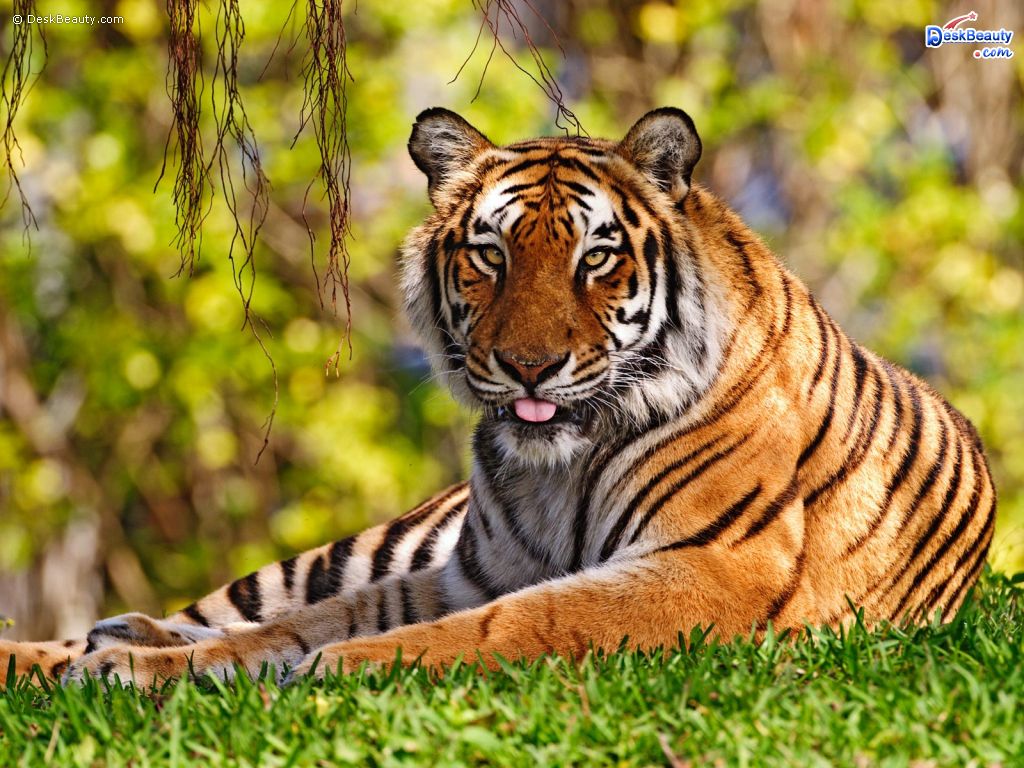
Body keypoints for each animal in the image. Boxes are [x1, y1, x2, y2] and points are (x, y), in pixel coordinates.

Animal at [0, 107, 996, 687]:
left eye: (596, 256)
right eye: (491, 254)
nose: (528, 367)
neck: (557, 468)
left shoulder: (711, 568)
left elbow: (515, 622)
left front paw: (336, 667)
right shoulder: (464, 569)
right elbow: (297, 624)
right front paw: (138, 667)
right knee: (219, 610)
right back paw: (93, 644)